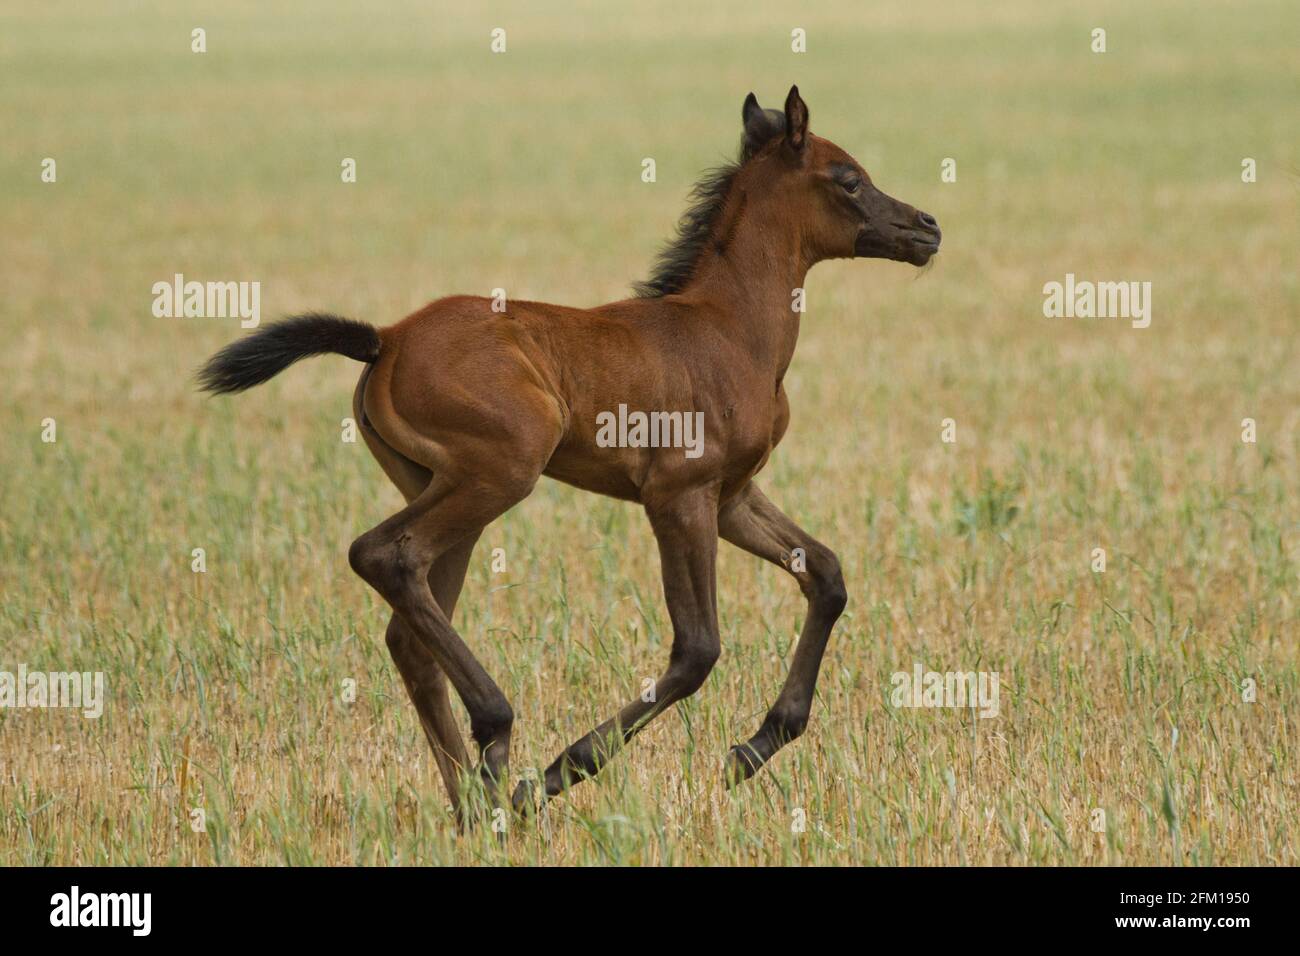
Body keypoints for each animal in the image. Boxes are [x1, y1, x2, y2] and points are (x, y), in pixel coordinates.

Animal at [198, 85, 941, 820]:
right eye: (849, 179)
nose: (927, 228)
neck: (730, 330)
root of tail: (385, 340)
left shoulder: (732, 497)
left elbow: (827, 575)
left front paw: (754, 747)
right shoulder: (679, 496)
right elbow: (697, 648)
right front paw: (560, 772)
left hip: (446, 490)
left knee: (408, 627)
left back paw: (476, 812)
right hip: (500, 473)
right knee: (382, 554)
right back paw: (498, 747)